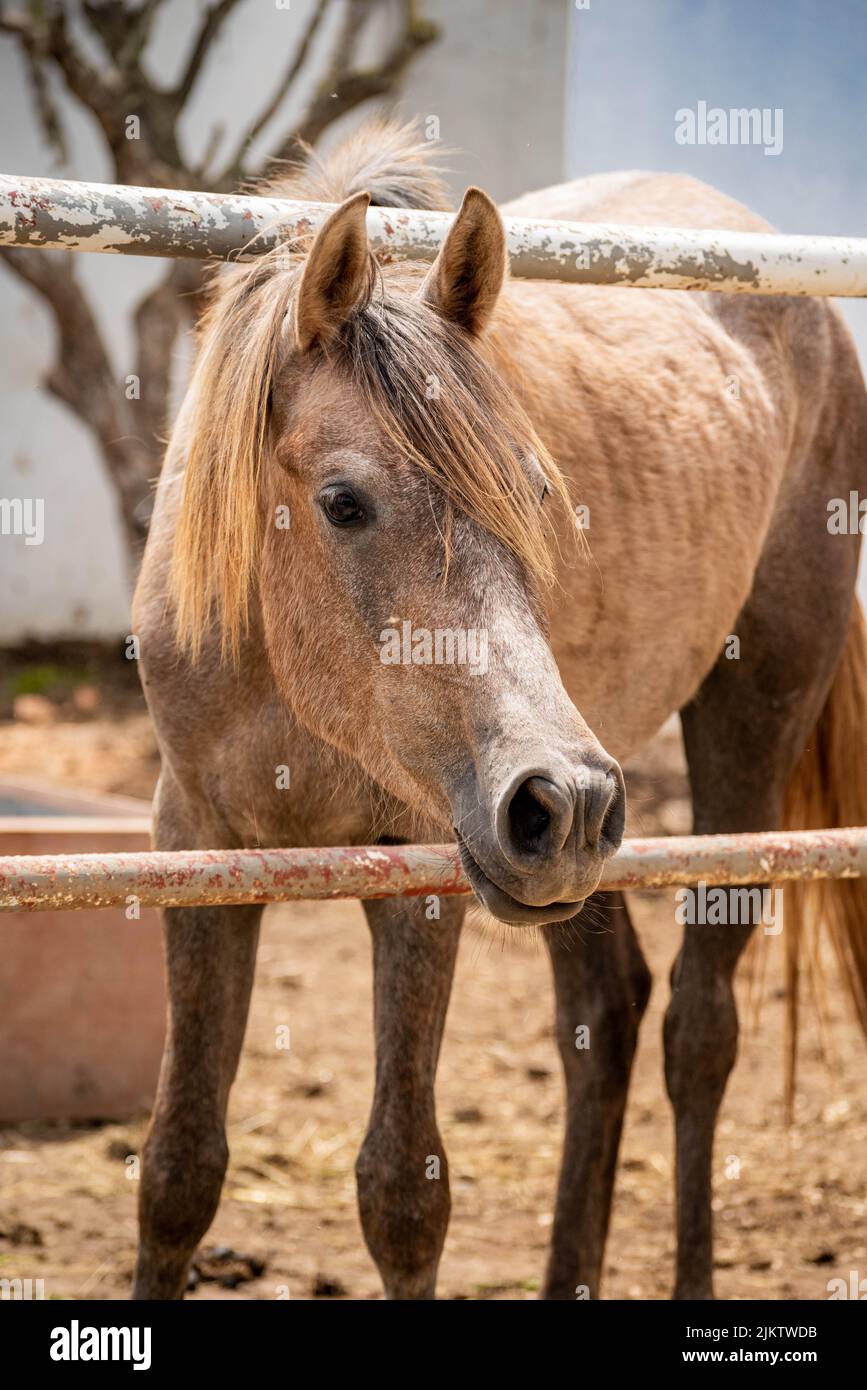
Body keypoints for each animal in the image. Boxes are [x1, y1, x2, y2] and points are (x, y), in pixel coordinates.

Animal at [131, 118, 867, 1300]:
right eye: (343, 501)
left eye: (534, 489)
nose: (556, 799)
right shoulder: (199, 850)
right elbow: (178, 1171)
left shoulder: (424, 872)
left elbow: (403, 1193)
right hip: (575, 839)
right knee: (604, 1016)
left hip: (726, 742)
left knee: (699, 1031)